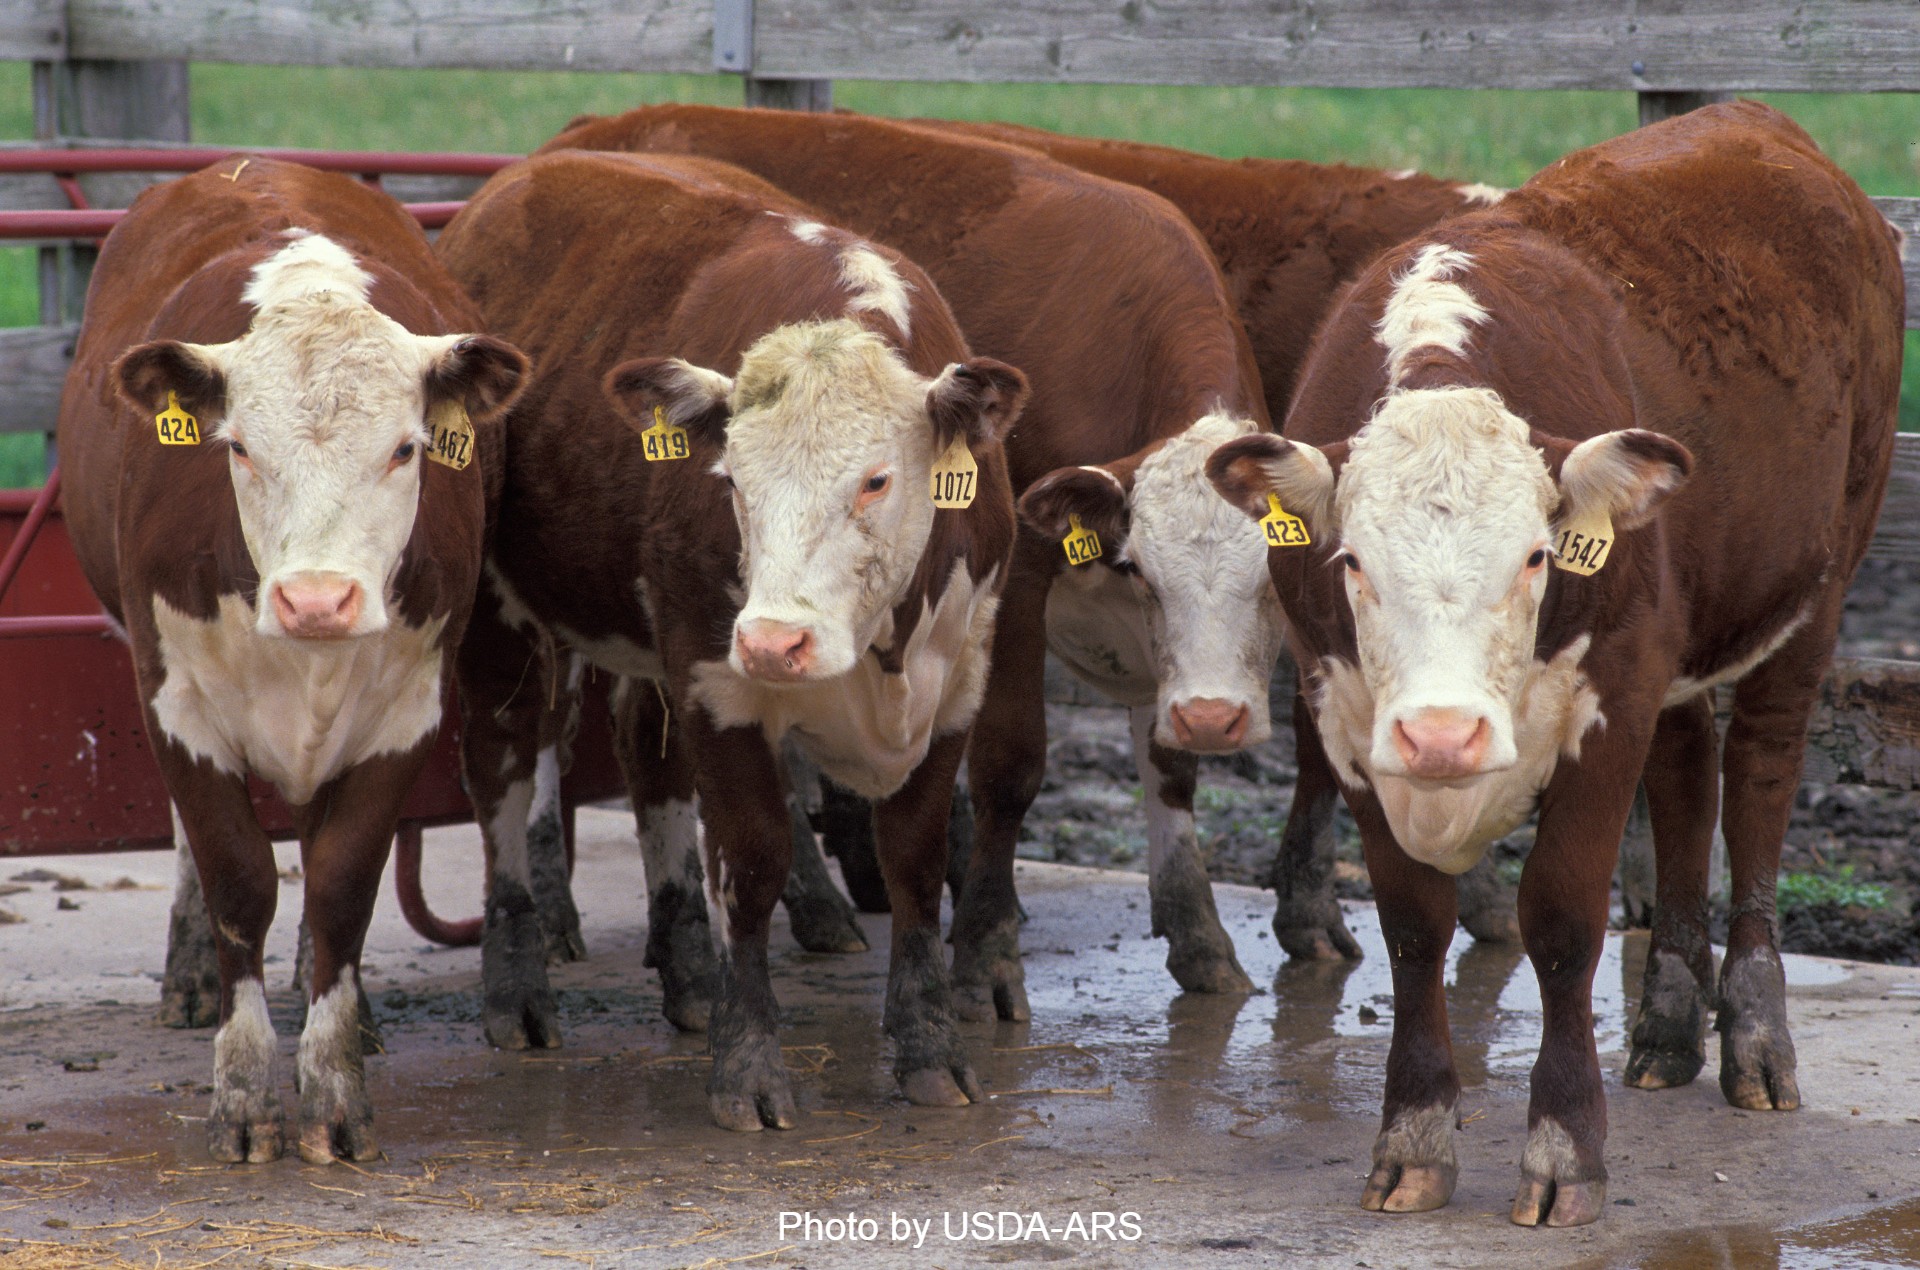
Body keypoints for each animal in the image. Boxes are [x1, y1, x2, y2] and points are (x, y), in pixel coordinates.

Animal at [57, 157, 528, 1163]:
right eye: (237, 446)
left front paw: (335, 1089)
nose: (317, 601)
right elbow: (238, 879)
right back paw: (191, 974)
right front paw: (241, 1097)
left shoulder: (406, 710)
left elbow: (343, 886)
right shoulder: (174, 701)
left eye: (406, 449)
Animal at [433, 148, 1025, 1126]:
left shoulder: (958, 686)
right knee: (504, 771)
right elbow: (750, 865)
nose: (777, 642)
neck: (881, 647)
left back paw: (686, 975)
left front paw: (930, 1052)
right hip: (502, 614)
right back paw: (517, 989)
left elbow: (914, 865)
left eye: (875, 479)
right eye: (733, 480)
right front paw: (747, 1068)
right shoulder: (718, 679)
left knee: (646, 756)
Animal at [539, 104, 1282, 1019]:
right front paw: (988, 953)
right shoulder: (1019, 583)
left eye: (1274, 585)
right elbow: (1011, 767)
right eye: (1142, 567)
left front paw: (1199, 935)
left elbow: (1172, 764)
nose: (1222, 720)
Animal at [1207, 100, 1901, 1225]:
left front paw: (1564, 1151)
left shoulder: (1610, 696)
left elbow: (1565, 920)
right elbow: (1413, 923)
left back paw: (1754, 1038)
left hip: (1820, 588)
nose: (1443, 734)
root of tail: (1757, 121)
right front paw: (1413, 1138)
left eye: (1536, 555)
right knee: (1687, 776)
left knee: (1757, 781)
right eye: (1350, 561)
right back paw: (1667, 1024)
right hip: (1679, 643)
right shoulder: (1348, 717)